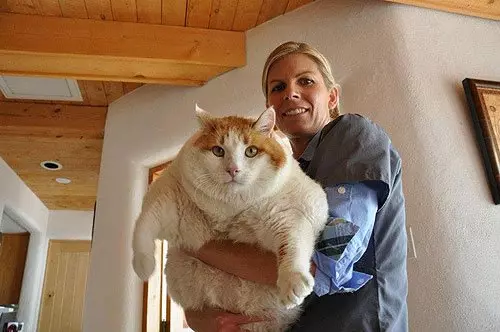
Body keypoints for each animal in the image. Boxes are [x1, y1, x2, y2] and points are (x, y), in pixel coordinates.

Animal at [131, 106, 330, 332]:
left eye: (251, 151)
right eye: (218, 151)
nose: (233, 169)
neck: (230, 207)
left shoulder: (288, 213)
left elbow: (293, 243)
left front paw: (293, 281)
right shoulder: (170, 194)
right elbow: (145, 222)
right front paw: (143, 265)